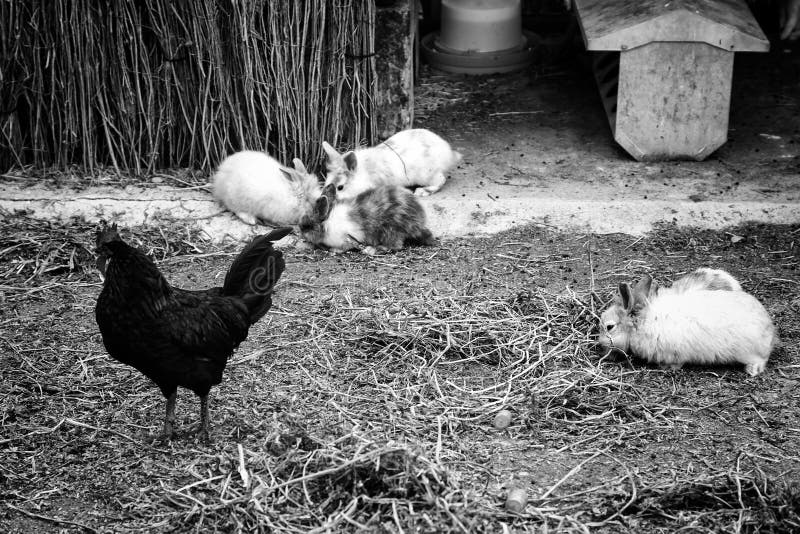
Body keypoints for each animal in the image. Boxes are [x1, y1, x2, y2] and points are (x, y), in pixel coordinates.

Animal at [299, 184, 436, 254]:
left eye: (307, 226)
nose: (301, 231)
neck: (327, 223)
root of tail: (418, 223)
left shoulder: (345, 239)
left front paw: (334, 250)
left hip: (391, 230)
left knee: (395, 246)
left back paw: (375, 249)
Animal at [321, 128, 462, 201]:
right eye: (326, 183)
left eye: (340, 187)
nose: (326, 198)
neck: (363, 174)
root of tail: (449, 153)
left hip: (427, 174)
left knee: (440, 180)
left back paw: (422, 191)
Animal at [599, 274, 777, 376]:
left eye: (609, 327)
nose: (601, 346)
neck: (640, 323)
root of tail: (770, 331)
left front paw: (666, 368)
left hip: (748, 352)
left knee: (762, 359)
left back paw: (752, 370)